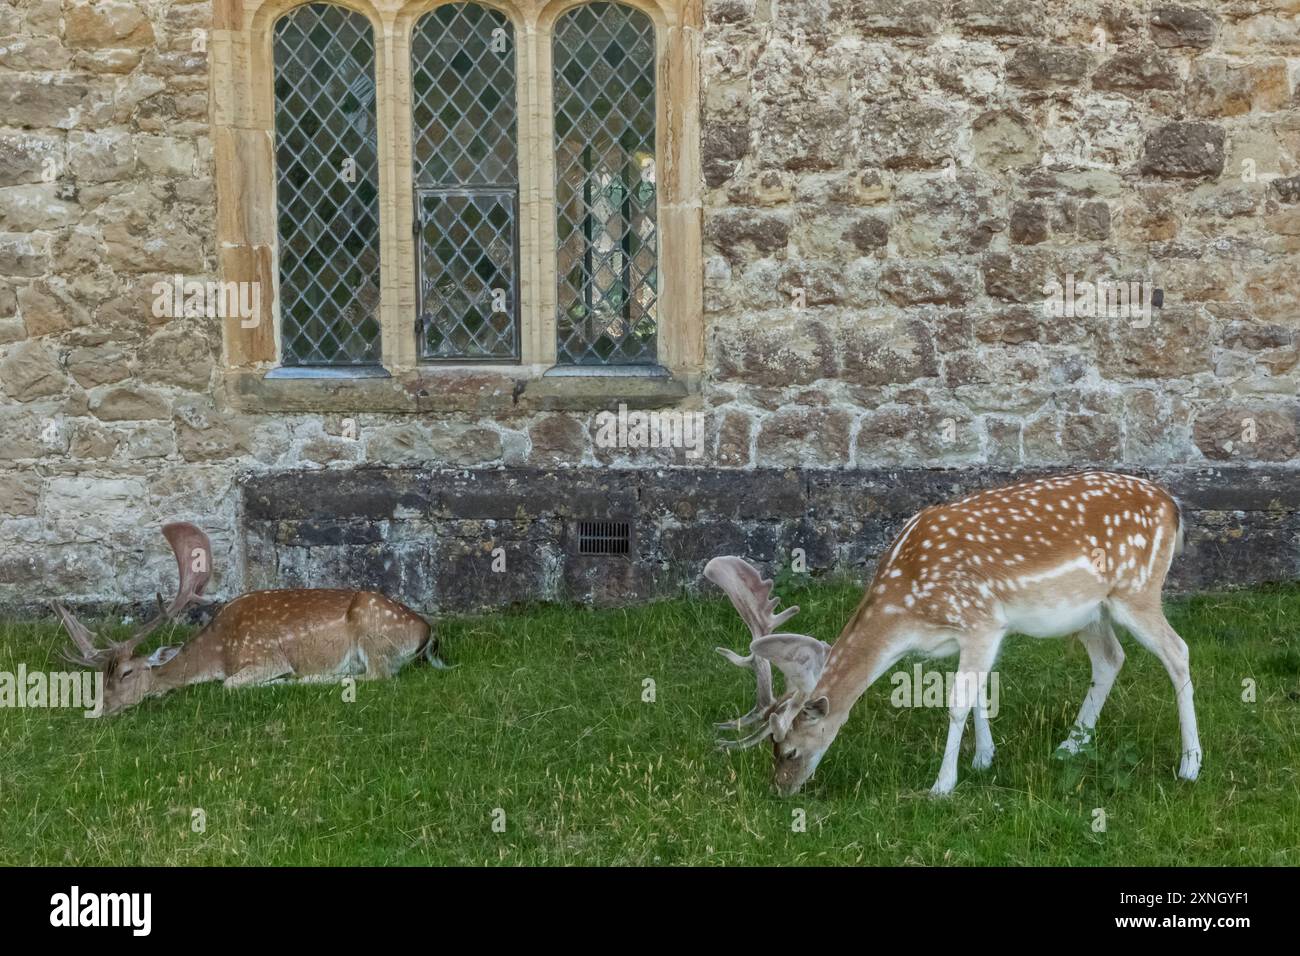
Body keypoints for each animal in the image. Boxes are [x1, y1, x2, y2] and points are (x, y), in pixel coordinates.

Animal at [52, 522, 441, 716]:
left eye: (127, 672)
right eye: (100, 678)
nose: (98, 711)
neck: (221, 651)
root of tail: (426, 631)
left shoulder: (266, 657)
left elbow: (228, 685)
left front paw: (278, 682)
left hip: (373, 636)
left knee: (379, 675)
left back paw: (303, 679)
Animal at [708, 470, 1201, 797]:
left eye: (789, 750)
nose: (779, 790)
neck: (908, 612)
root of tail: (1173, 507)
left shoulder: (980, 619)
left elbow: (957, 701)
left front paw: (943, 784)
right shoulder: (976, 632)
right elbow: (981, 690)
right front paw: (984, 758)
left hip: (1136, 589)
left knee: (1178, 651)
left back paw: (1189, 766)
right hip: (1090, 611)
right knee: (1110, 657)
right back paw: (1069, 746)